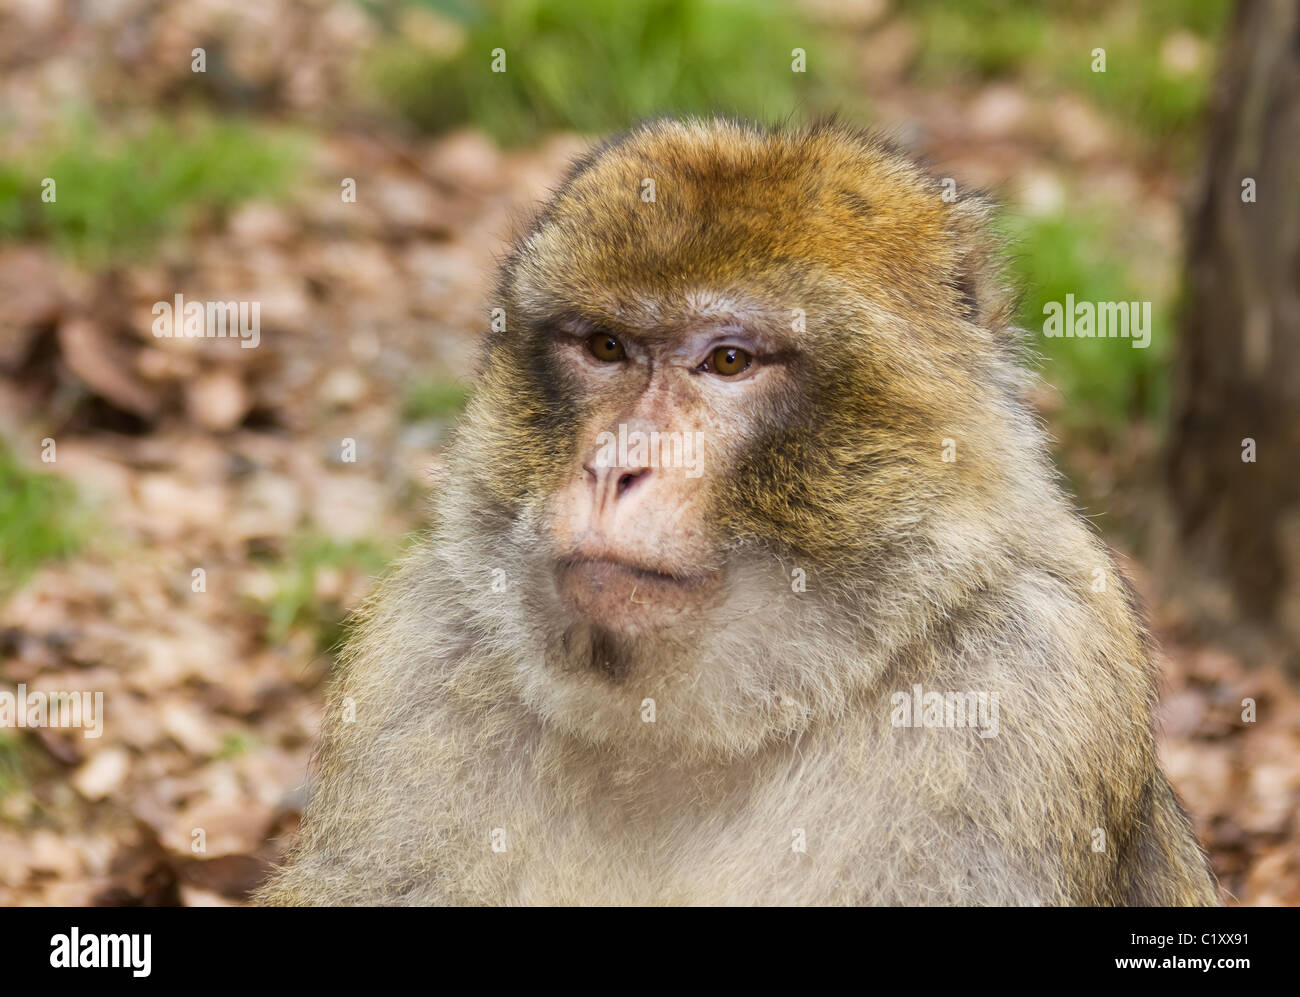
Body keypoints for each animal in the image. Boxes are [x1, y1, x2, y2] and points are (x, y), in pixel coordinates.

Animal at [258, 118, 1220, 906]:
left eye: (728, 360)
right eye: (606, 347)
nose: (615, 466)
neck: (691, 730)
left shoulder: (1017, 688)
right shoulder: (424, 656)